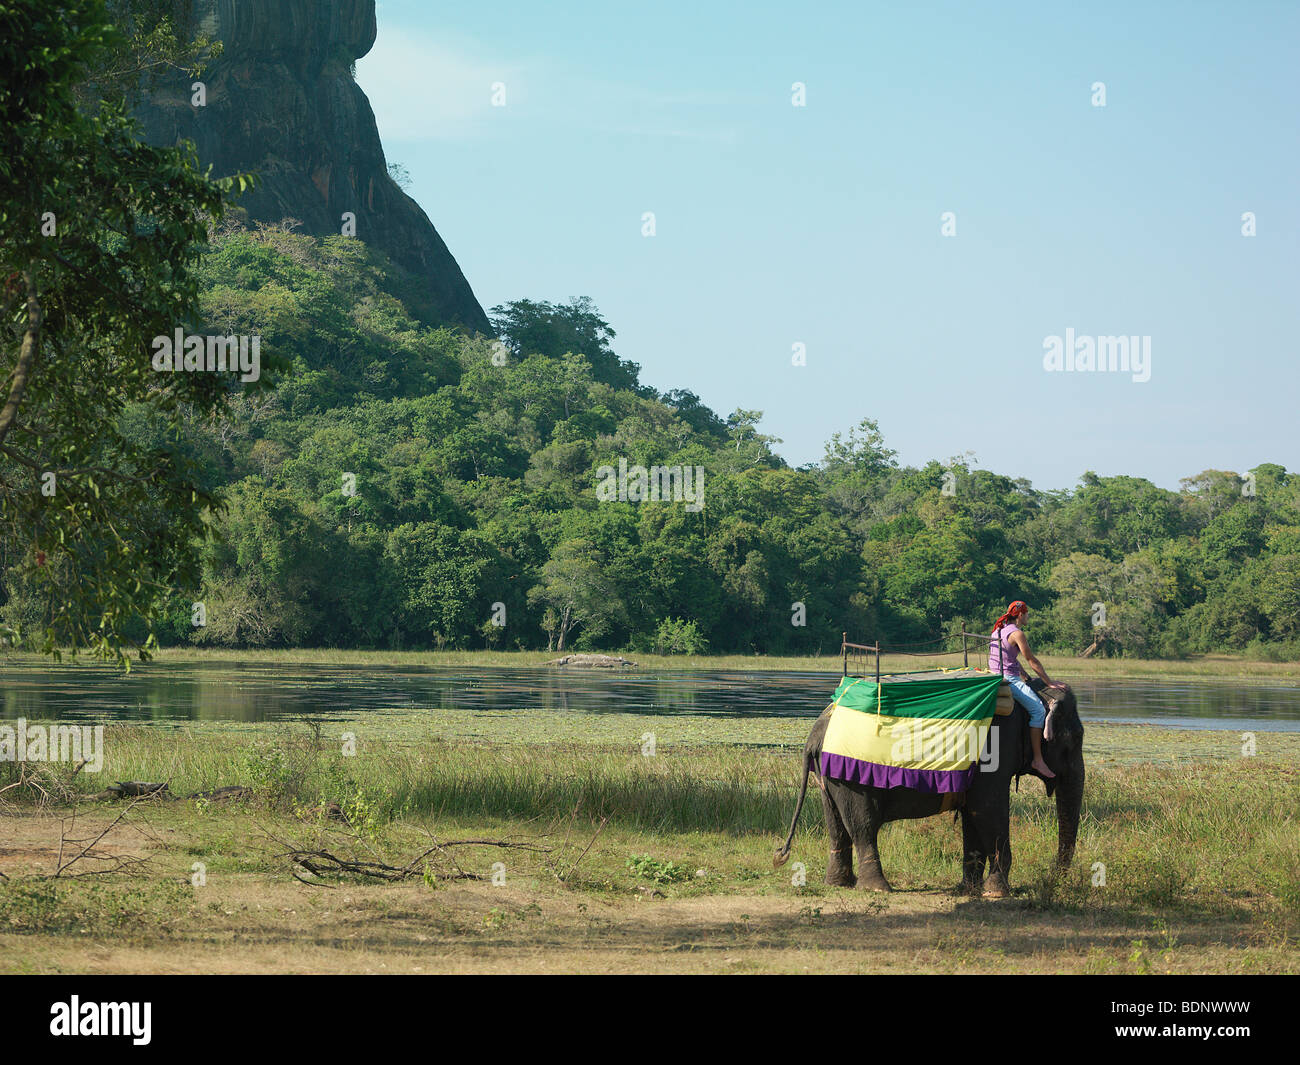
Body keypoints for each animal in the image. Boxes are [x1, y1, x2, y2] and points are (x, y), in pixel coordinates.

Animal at [774, 677, 1085, 896]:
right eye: (1075, 738)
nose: (1054, 879)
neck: (1033, 693)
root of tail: (813, 736)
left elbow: (973, 816)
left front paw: (968, 890)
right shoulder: (993, 750)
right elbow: (988, 810)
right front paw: (996, 893)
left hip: (828, 777)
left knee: (836, 825)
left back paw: (839, 884)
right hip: (852, 780)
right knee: (863, 826)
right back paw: (878, 888)